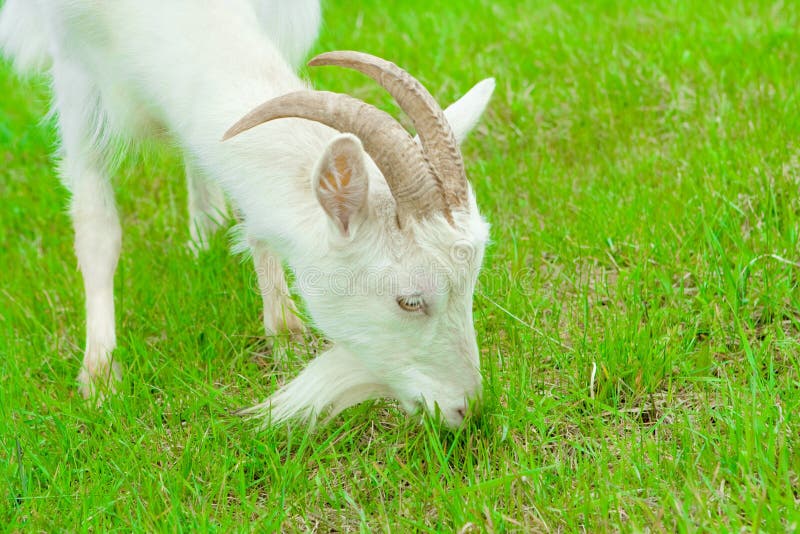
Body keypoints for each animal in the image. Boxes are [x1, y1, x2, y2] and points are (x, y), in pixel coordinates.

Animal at [0, 0, 495, 428]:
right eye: (409, 300)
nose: (466, 409)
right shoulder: (72, 69)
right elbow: (97, 228)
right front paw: (100, 377)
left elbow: (253, 215)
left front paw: (286, 336)